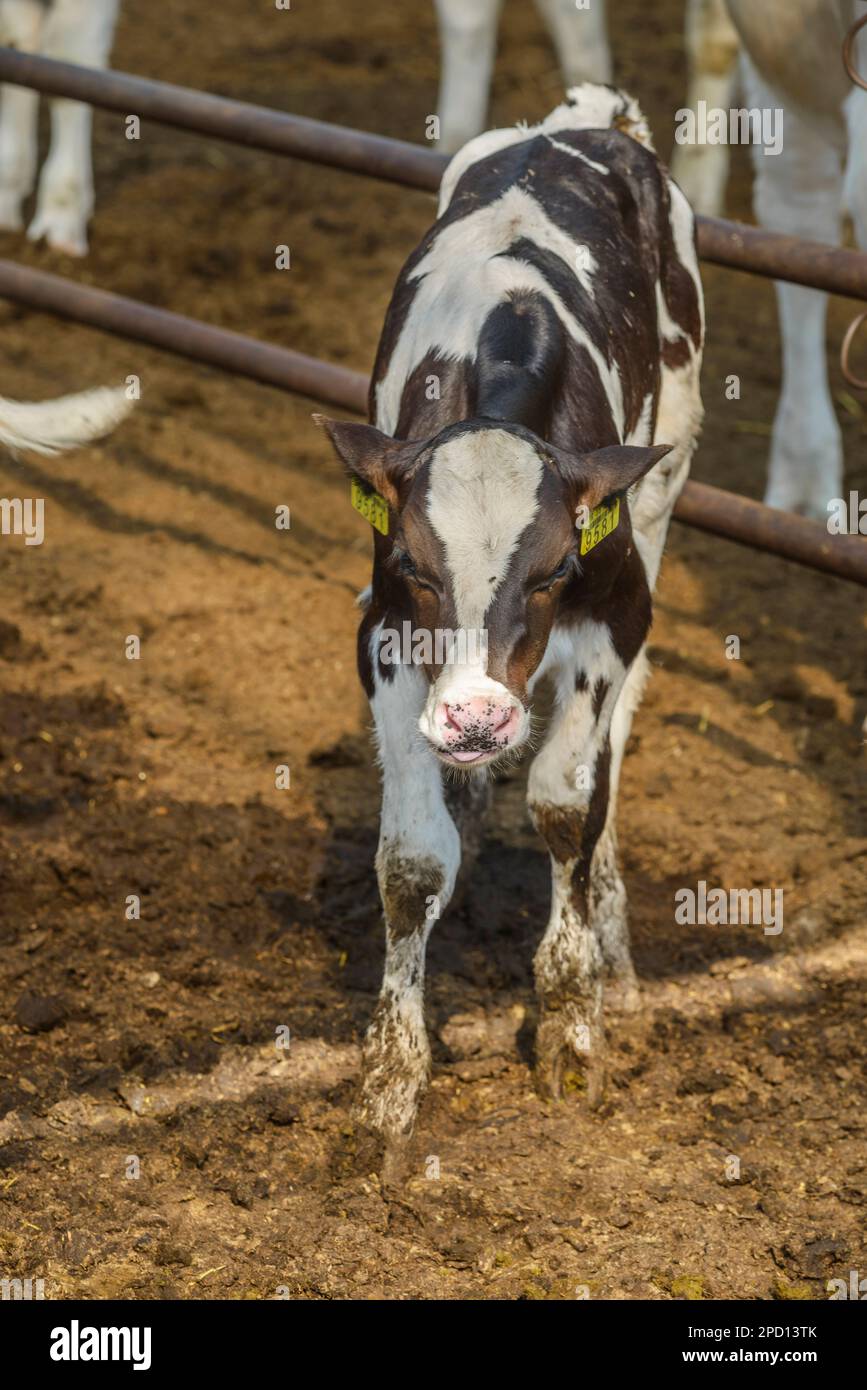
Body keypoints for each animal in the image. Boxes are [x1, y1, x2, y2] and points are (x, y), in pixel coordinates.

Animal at [318, 83, 704, 1163]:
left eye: (554, 570)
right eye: (414, 565)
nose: (477, 718)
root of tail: (580, 119)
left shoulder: (610, 614)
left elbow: (570, 803)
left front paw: (571, 1024)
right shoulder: (387, 638)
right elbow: (411, 861)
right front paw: (390, 1085)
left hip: (663, 486)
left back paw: (610, 941)